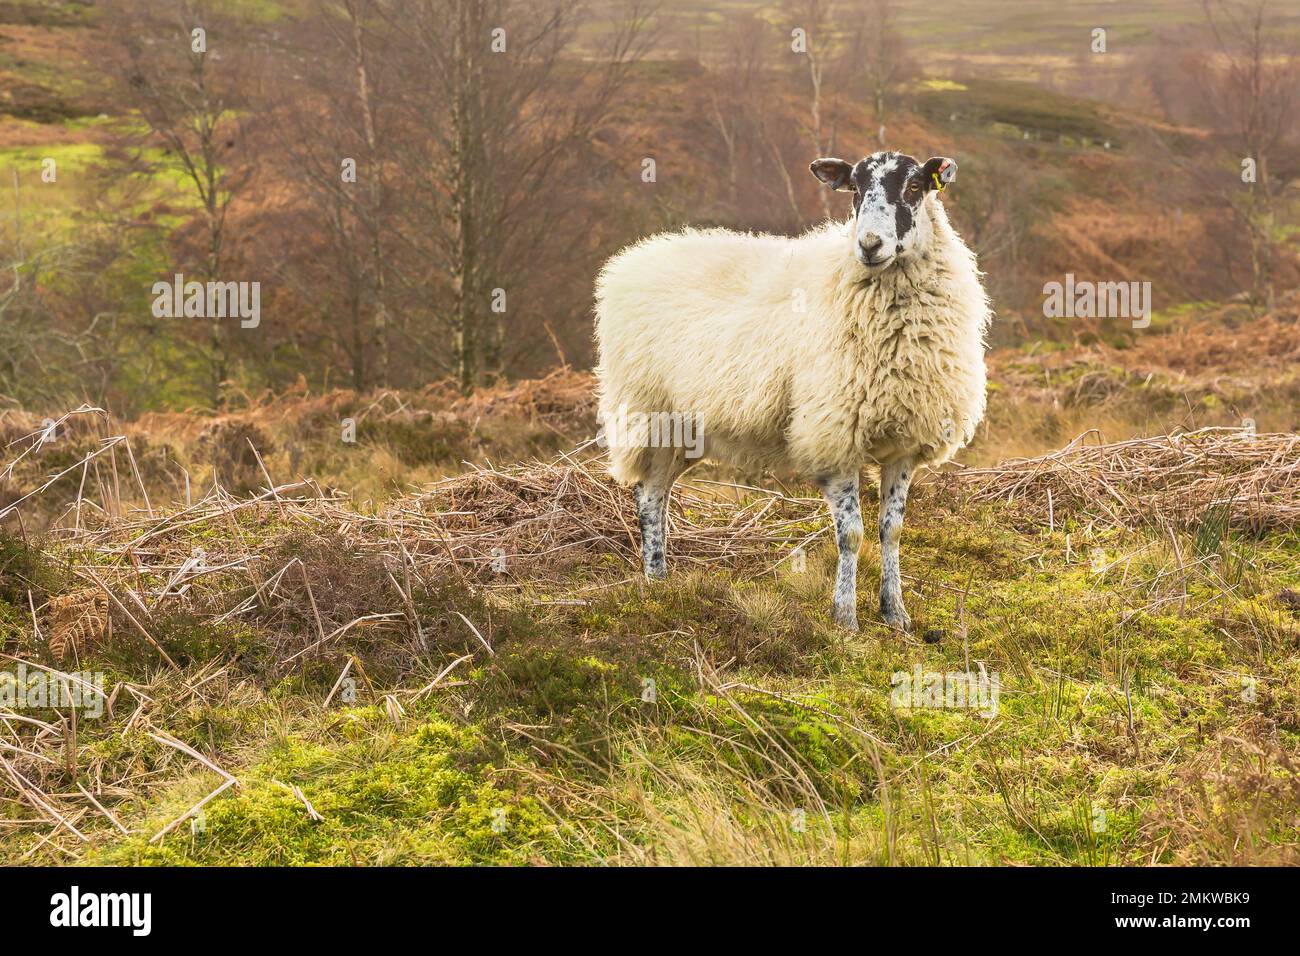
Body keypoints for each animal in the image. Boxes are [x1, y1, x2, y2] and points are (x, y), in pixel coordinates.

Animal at [593, 150, 991, 632]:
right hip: (649, 413)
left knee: (658, 491)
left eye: (915, 187)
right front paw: (845, 617)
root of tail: (631, 259)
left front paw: (895, 613)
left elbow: (891, 529)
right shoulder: (833, 434)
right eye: (855, 190)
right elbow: (851, 533)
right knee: (649, 499)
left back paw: (662, 580)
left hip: (684, 429)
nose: (869, 245)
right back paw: (654, 580)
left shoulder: (904, 445)